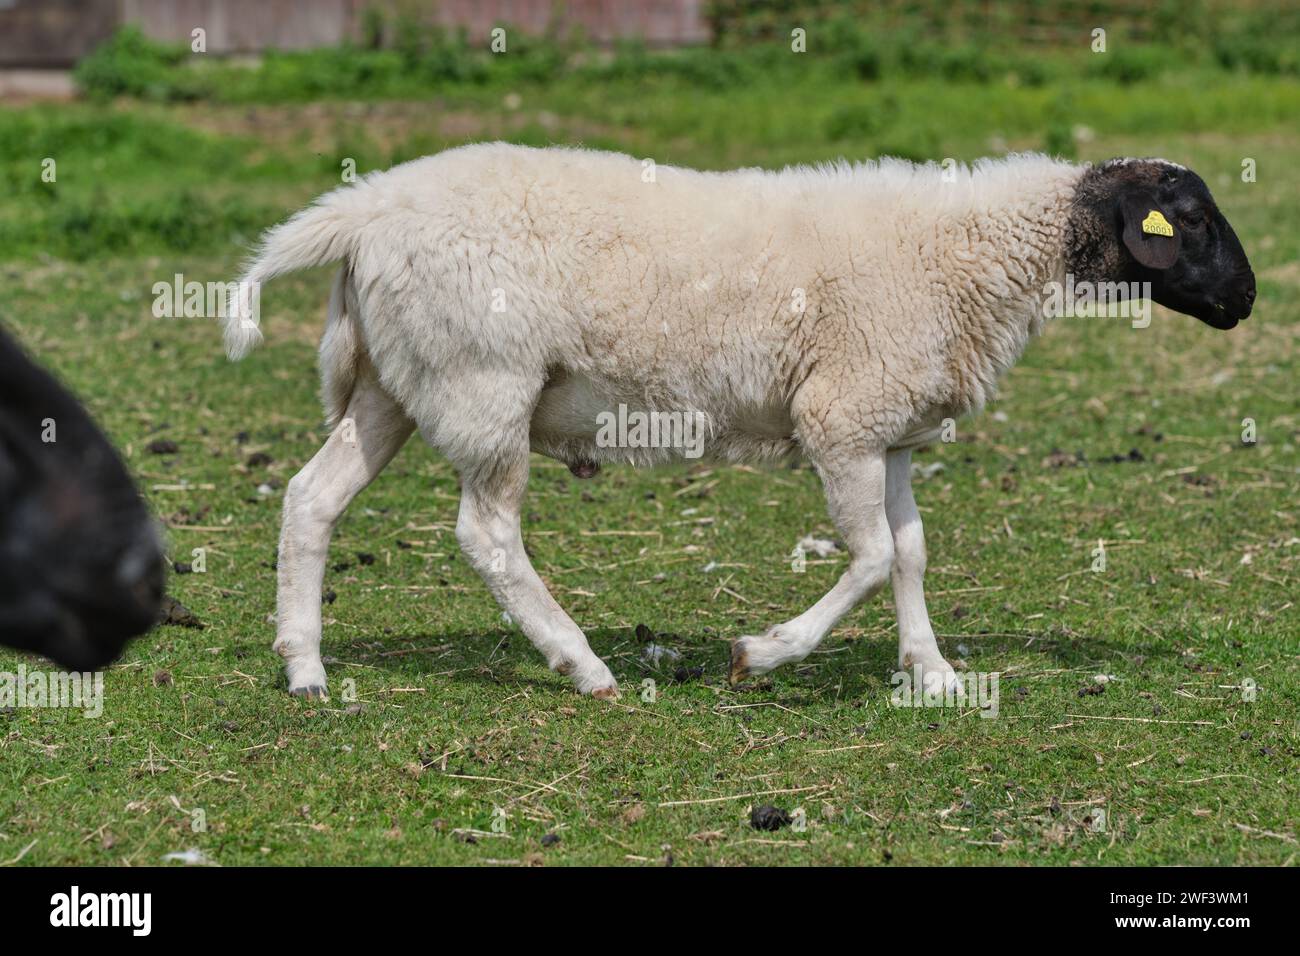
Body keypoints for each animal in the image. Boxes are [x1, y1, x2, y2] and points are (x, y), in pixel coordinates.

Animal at [222, 143, 1255, 700]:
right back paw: (581, 663)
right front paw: (760, 653)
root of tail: (360, 211)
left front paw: (934, 674)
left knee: (311, 500)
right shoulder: (840, 416)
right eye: (1192, 220)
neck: (974, 254)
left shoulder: (887, 425)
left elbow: (911, 553)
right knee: (487, 534)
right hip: (485, 380)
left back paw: (304, 668)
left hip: (397, 383)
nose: (1245, 300)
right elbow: (871, 559)